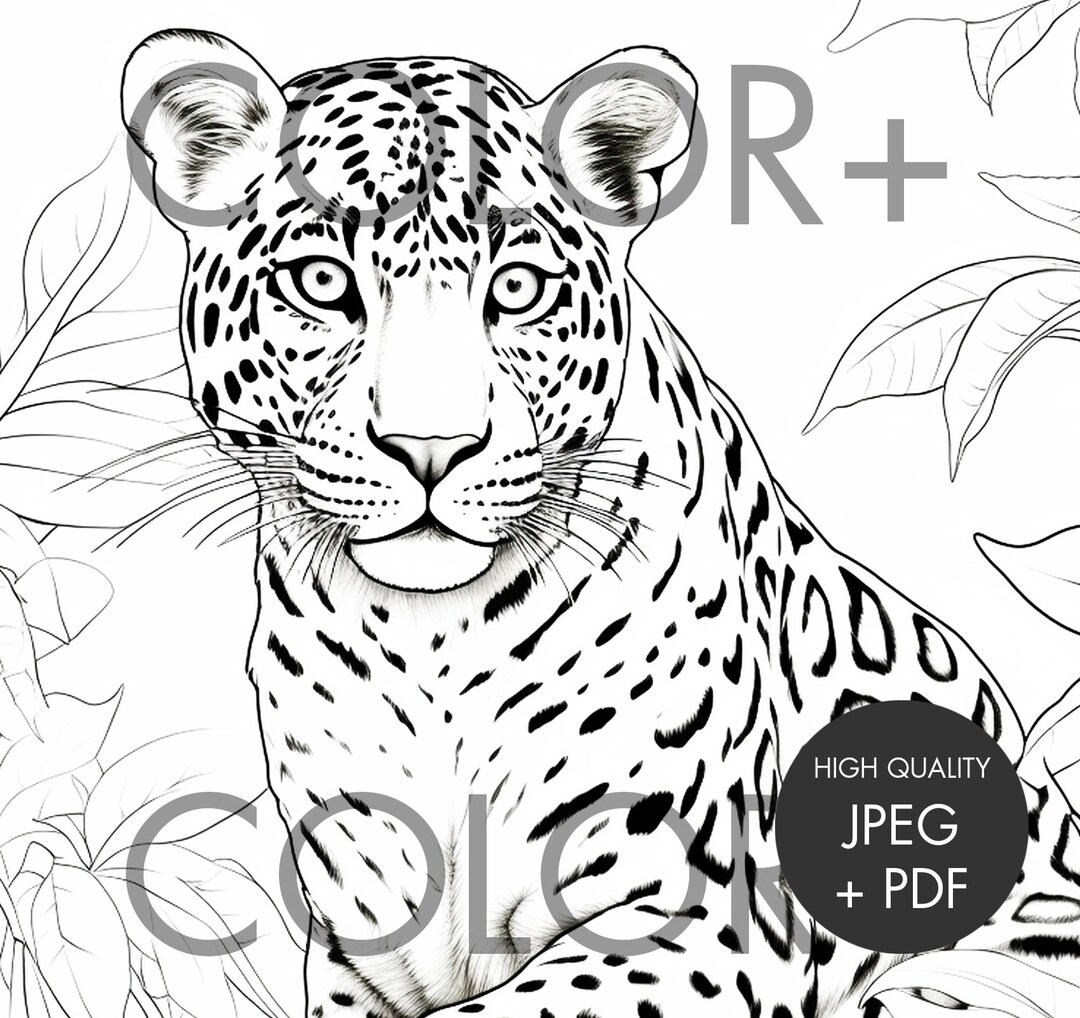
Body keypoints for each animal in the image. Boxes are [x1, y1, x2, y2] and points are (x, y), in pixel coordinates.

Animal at [120, 28, 1080, 1017]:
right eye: (321, 282)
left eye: (517, 289)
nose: (432, 448)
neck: (428, 644)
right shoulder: (367, 946)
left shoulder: (708, 919)